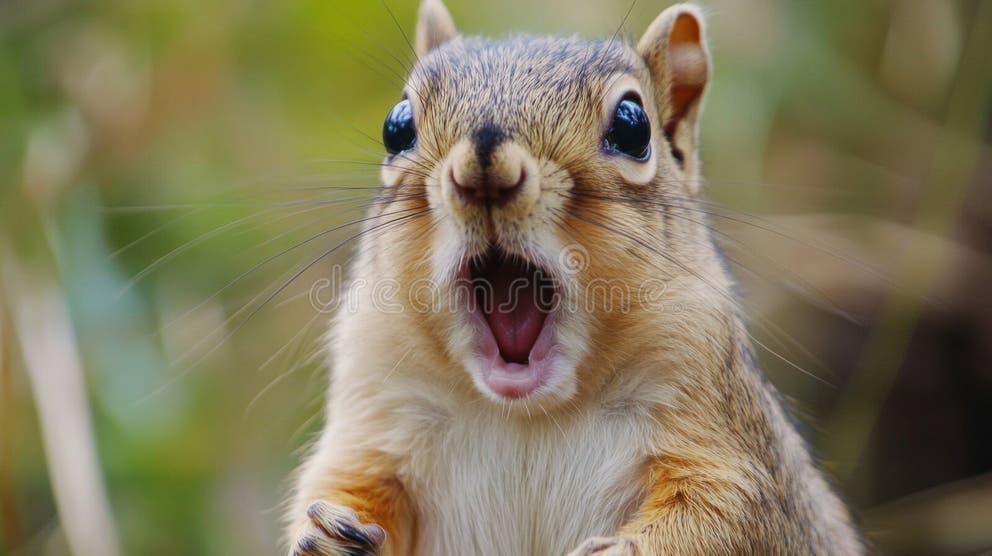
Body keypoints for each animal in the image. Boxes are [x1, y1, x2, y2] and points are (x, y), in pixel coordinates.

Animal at [287, 1, 865, 554]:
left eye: (633, 125)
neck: (529, 415)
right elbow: (349, 485)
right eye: (397, 125)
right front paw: (327, 533)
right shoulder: (376, 415)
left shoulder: (731, 447)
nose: (484, 166)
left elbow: (719, 518)